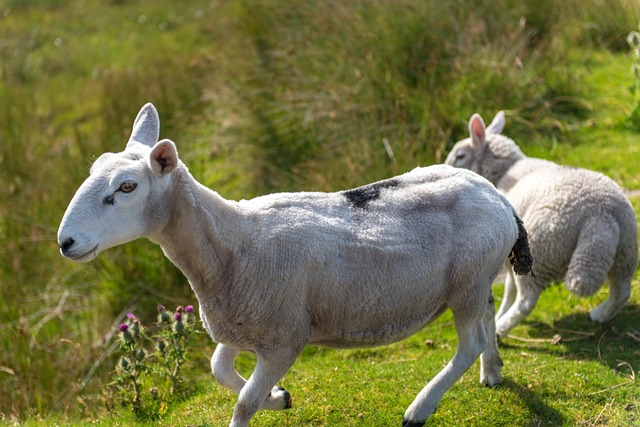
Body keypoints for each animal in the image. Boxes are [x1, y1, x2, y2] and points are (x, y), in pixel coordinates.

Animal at [57, 103, 533, 427]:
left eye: (126, 187)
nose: (66, 243)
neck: (231, 245)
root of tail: (497, 195)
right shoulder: (242, 322)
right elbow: (219, 369)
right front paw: (280, 397)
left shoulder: (284, 336)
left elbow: (243, 402)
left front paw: (266, 398)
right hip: (478, 277)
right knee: (489, 315)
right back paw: (493, 373)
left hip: (465, 282)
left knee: (469, 343)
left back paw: (420, 407)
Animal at [445, 111, 638, 338]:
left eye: (460, 156)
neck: (505, 172)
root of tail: (599, 215)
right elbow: (510, 288)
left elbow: (510, 290)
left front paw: (500, 315)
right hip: (625, 251)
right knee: (622, 291)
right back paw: (600, 314)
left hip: (541, 249)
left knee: (526, 301)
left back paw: (502, 329)